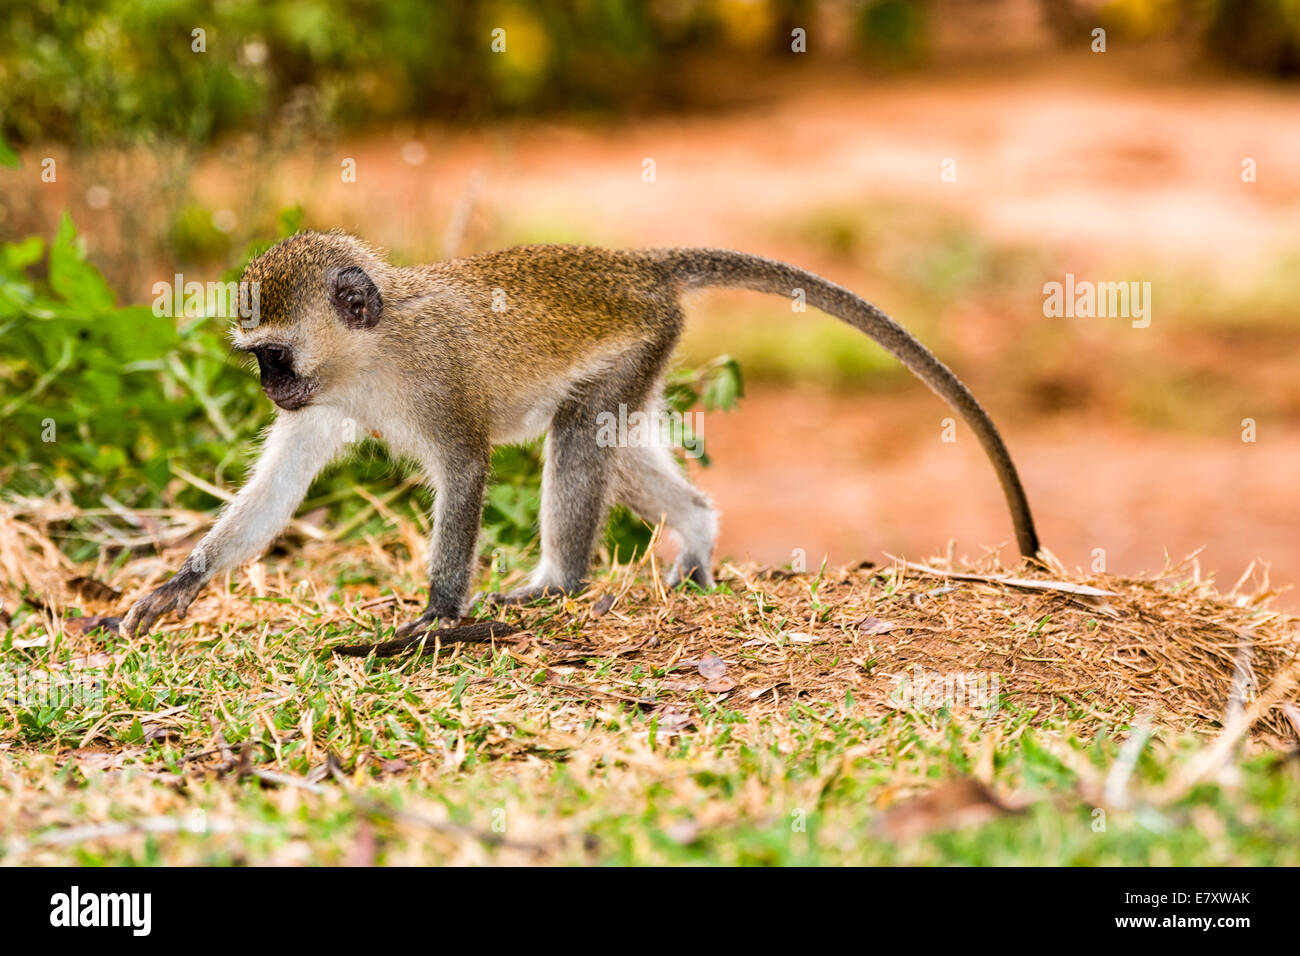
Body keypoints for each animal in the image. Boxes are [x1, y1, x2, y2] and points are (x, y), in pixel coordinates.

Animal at [122, 231, 1040, 637]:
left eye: (272, 355)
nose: (271, 390)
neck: (376, 349)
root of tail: (641, 265)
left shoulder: (439, 390)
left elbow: (467, 469)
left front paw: (439, 614)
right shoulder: (323, 404)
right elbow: (280, 487)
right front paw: (180, 583)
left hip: (637, 342)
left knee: (578, 433)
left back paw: (557, 585)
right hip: (646, 357)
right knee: (613, 442)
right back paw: (696, 533)